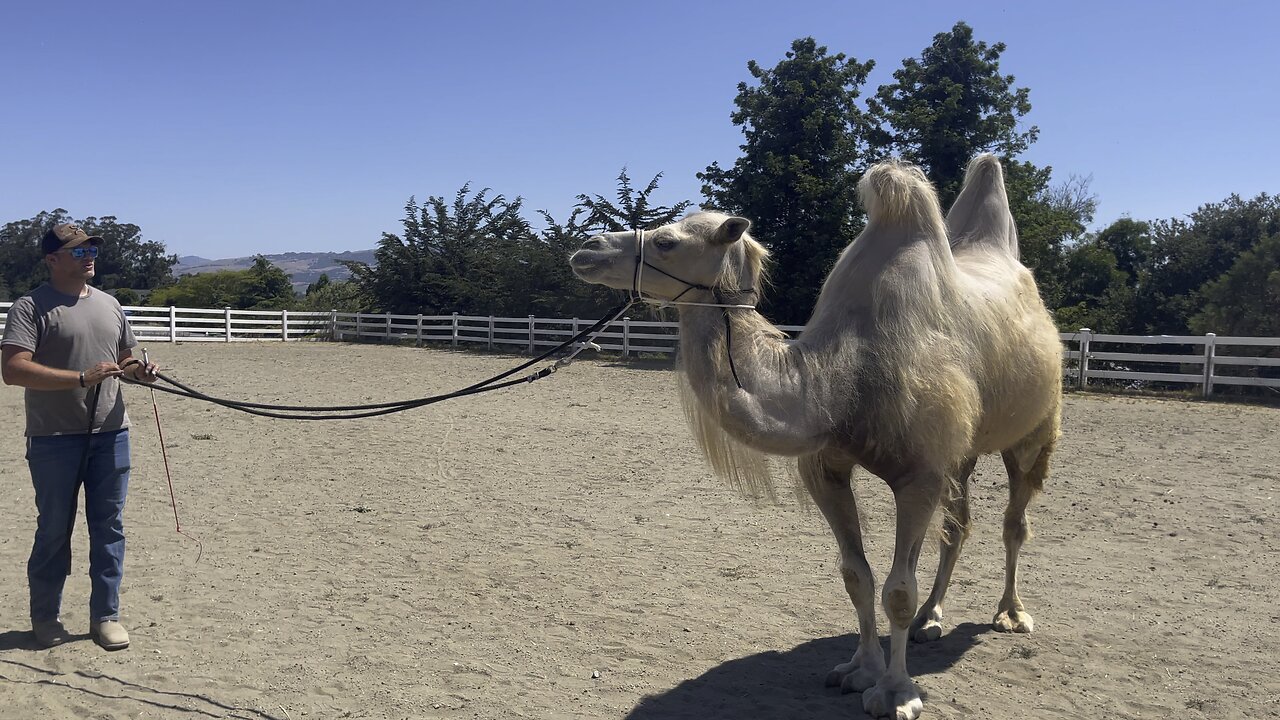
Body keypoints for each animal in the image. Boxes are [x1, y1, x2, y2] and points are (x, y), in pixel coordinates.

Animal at [569, 155, 1063, 720]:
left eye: (668, 241)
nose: (586, 249)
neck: (841, 380)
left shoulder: (918, 475)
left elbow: (897, 589)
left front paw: (896, 693)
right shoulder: (828, 469)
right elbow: (856, 576)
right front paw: (858, 670)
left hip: (1034, 432)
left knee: (1014, 523)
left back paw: (1010, 614)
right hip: (961, 453)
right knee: (957, 527)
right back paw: (931, 619)